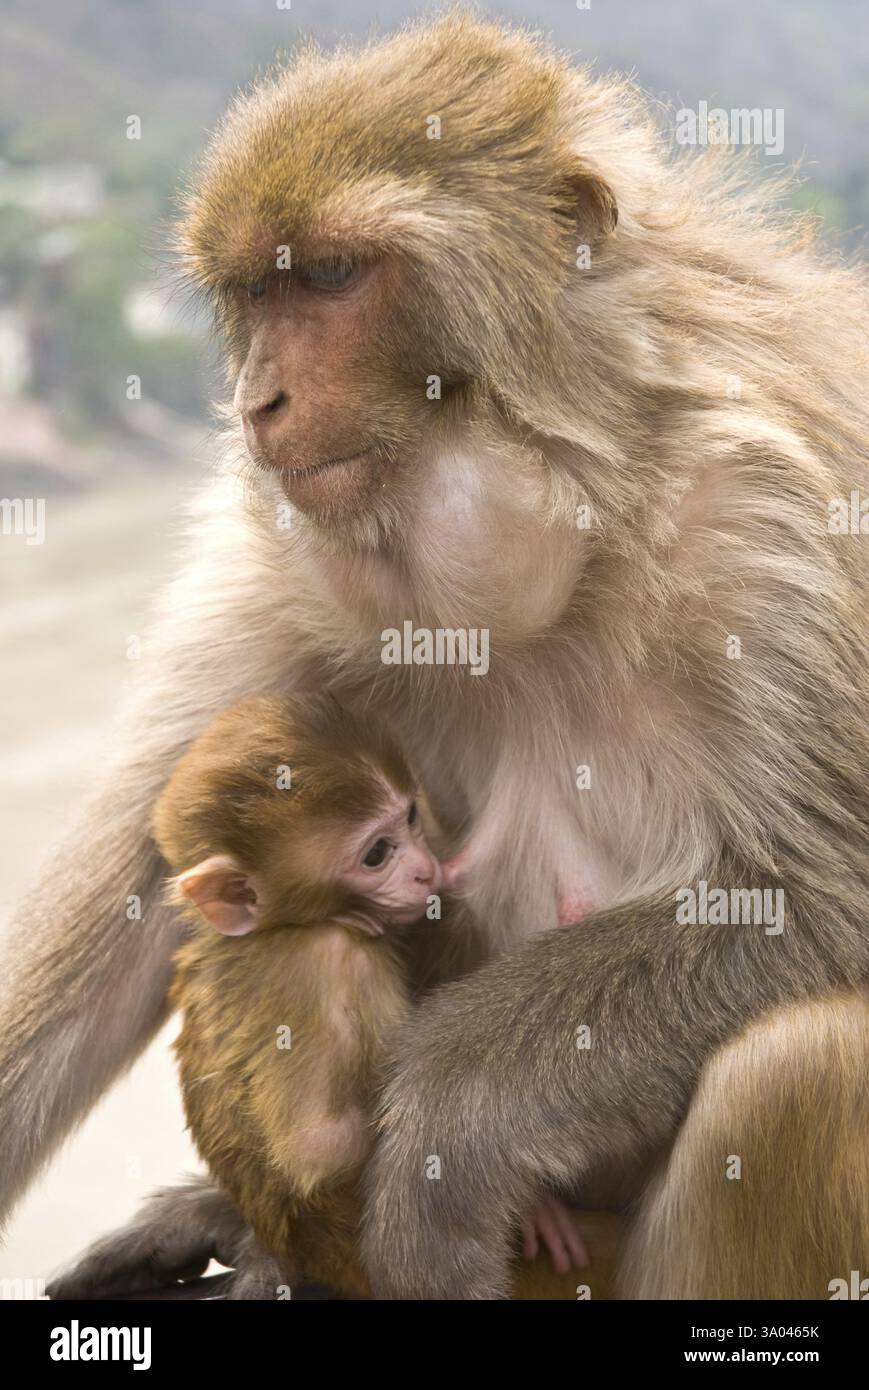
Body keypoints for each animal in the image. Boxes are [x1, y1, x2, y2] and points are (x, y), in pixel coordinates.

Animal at [2, 10, 865, 1300]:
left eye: (329, 276)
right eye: (258, 289)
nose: (257, 400)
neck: (580, 514)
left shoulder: (772, 522)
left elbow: (819, 900)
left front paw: (441, 1142)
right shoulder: (280, 563)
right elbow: (143, 886)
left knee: (791, 1066)